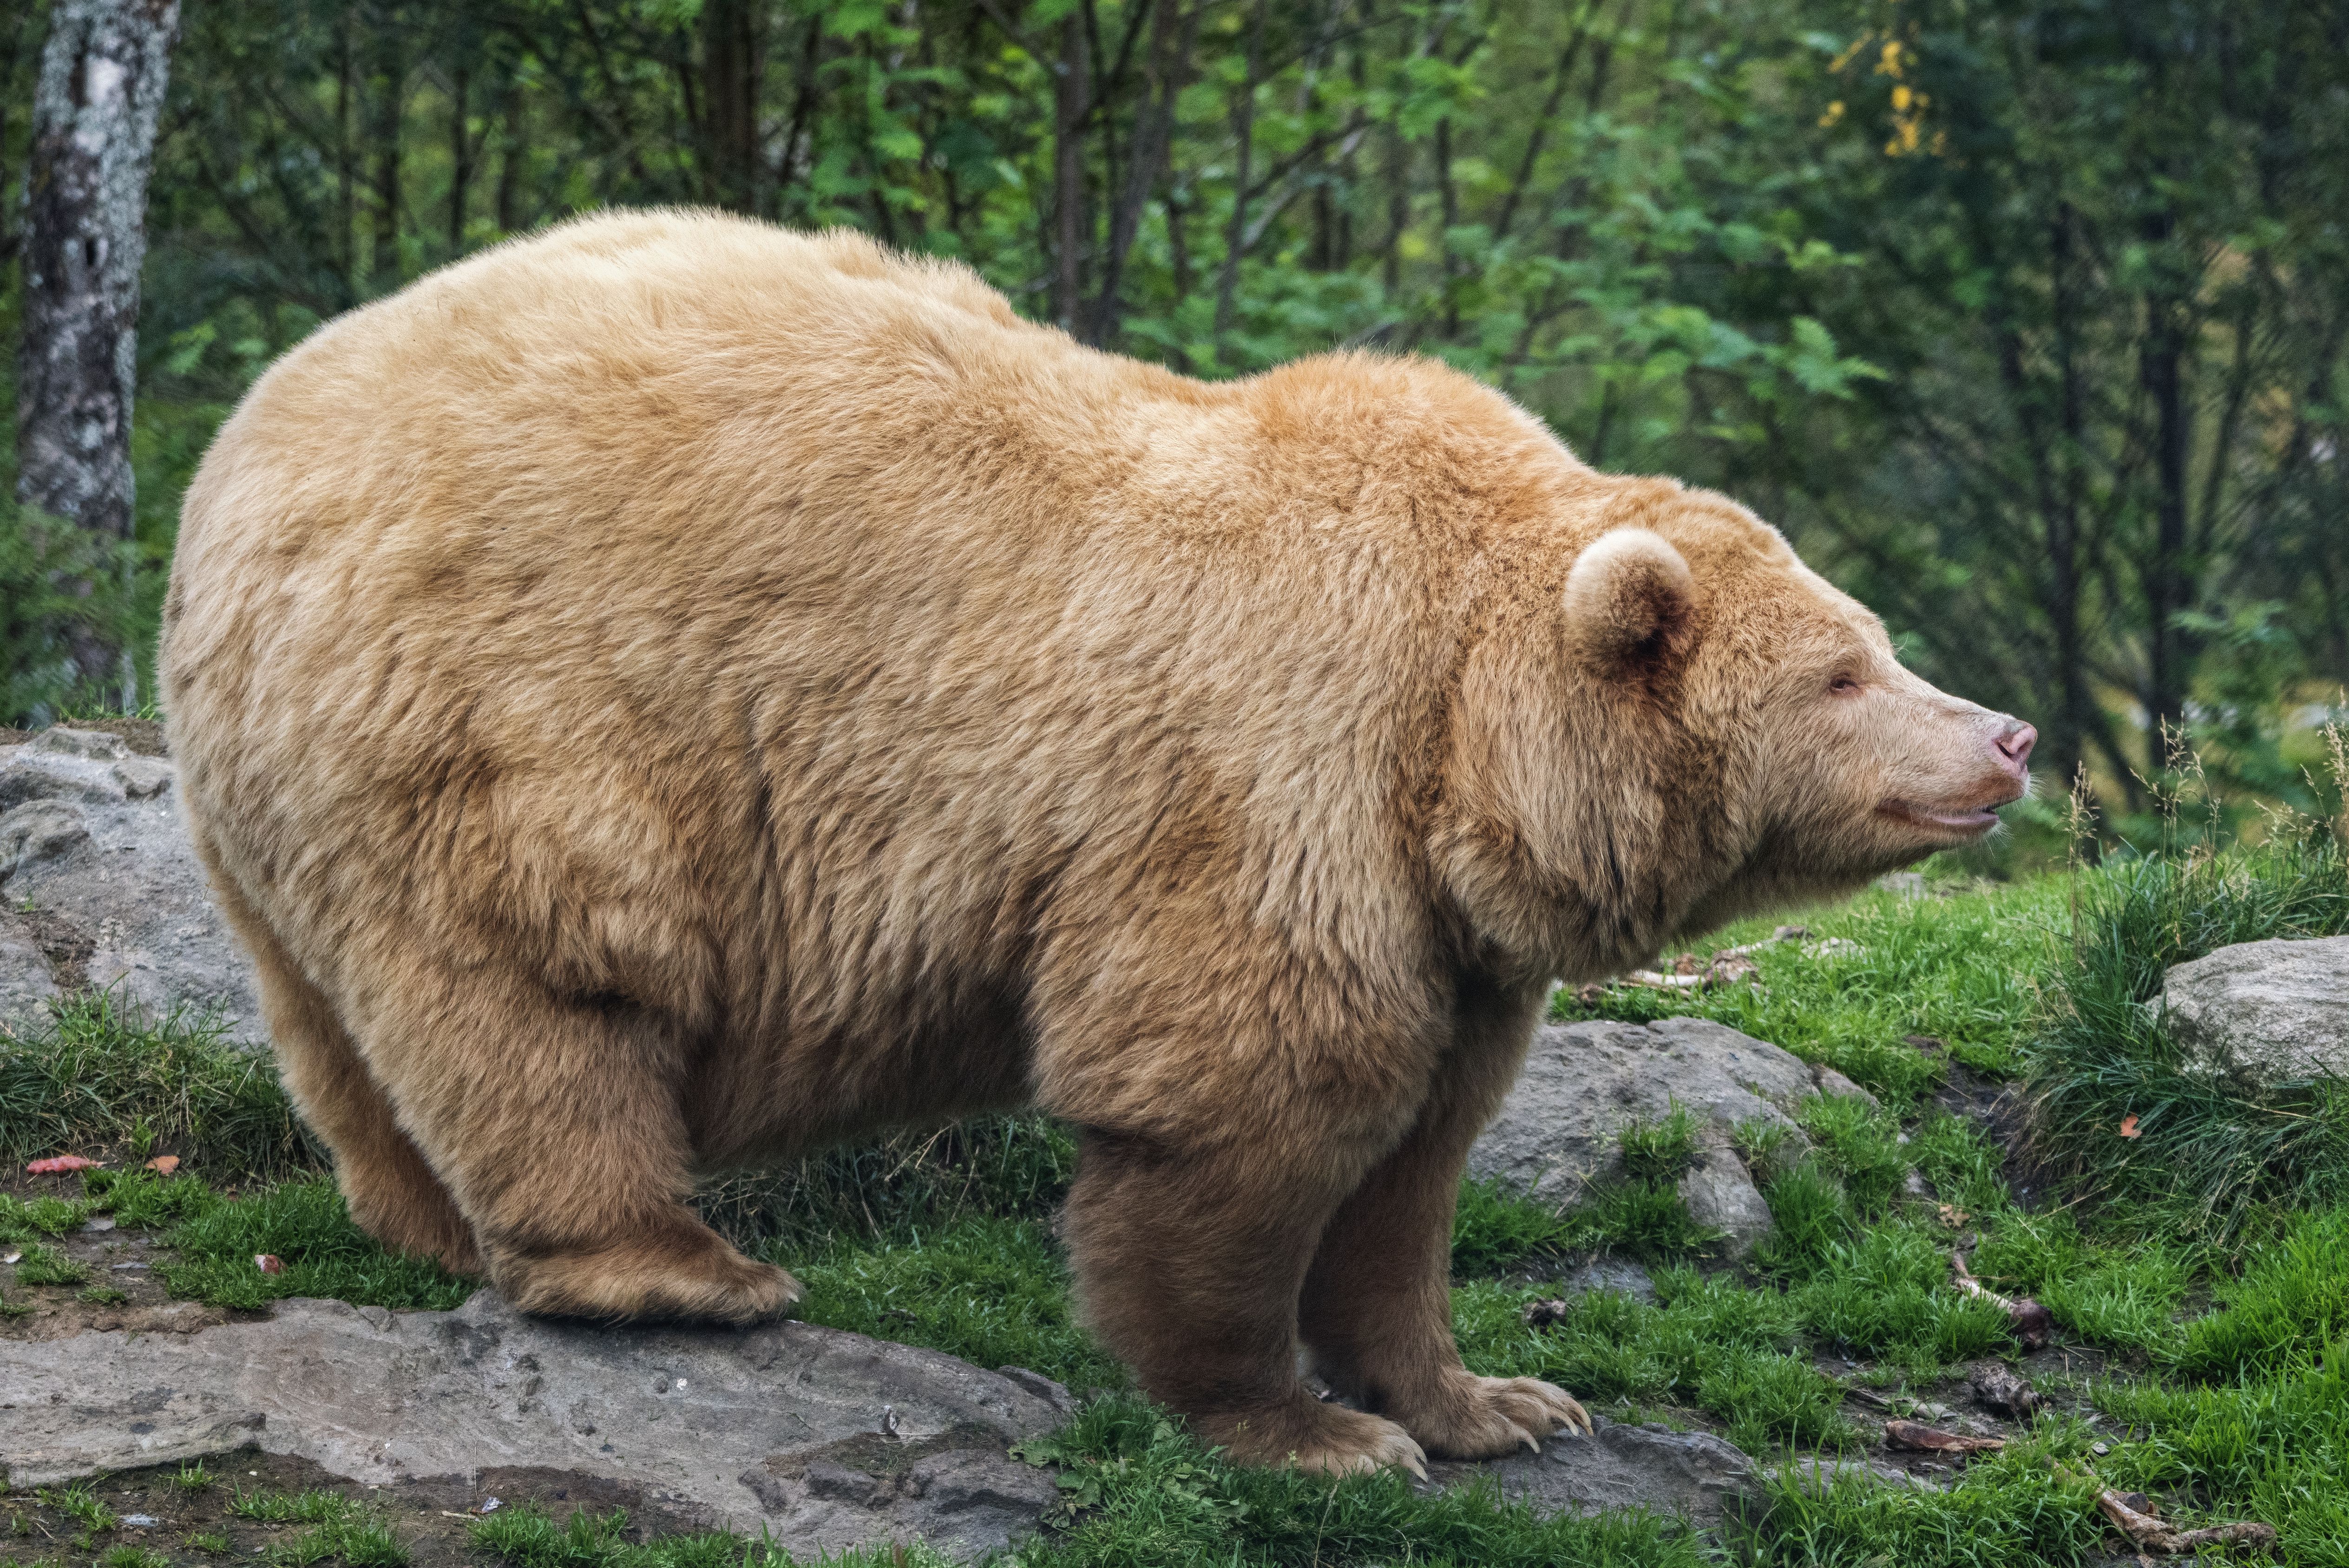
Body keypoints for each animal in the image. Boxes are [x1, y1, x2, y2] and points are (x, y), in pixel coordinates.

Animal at [160, 209, 2034, 1477]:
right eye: (1845, 667)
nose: (2006, 736)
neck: (1455, 732)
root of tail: (235, 464)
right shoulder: (1272, 779)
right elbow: (1248, 1099)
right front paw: (1297, 1423)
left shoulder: (1445, 926)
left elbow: (1419, 1160)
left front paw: (1492, 1397)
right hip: (514, 710)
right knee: (550, 978)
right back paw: (673, 1269)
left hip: (290, 810)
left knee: (349, 1028)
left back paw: (428, 1224)